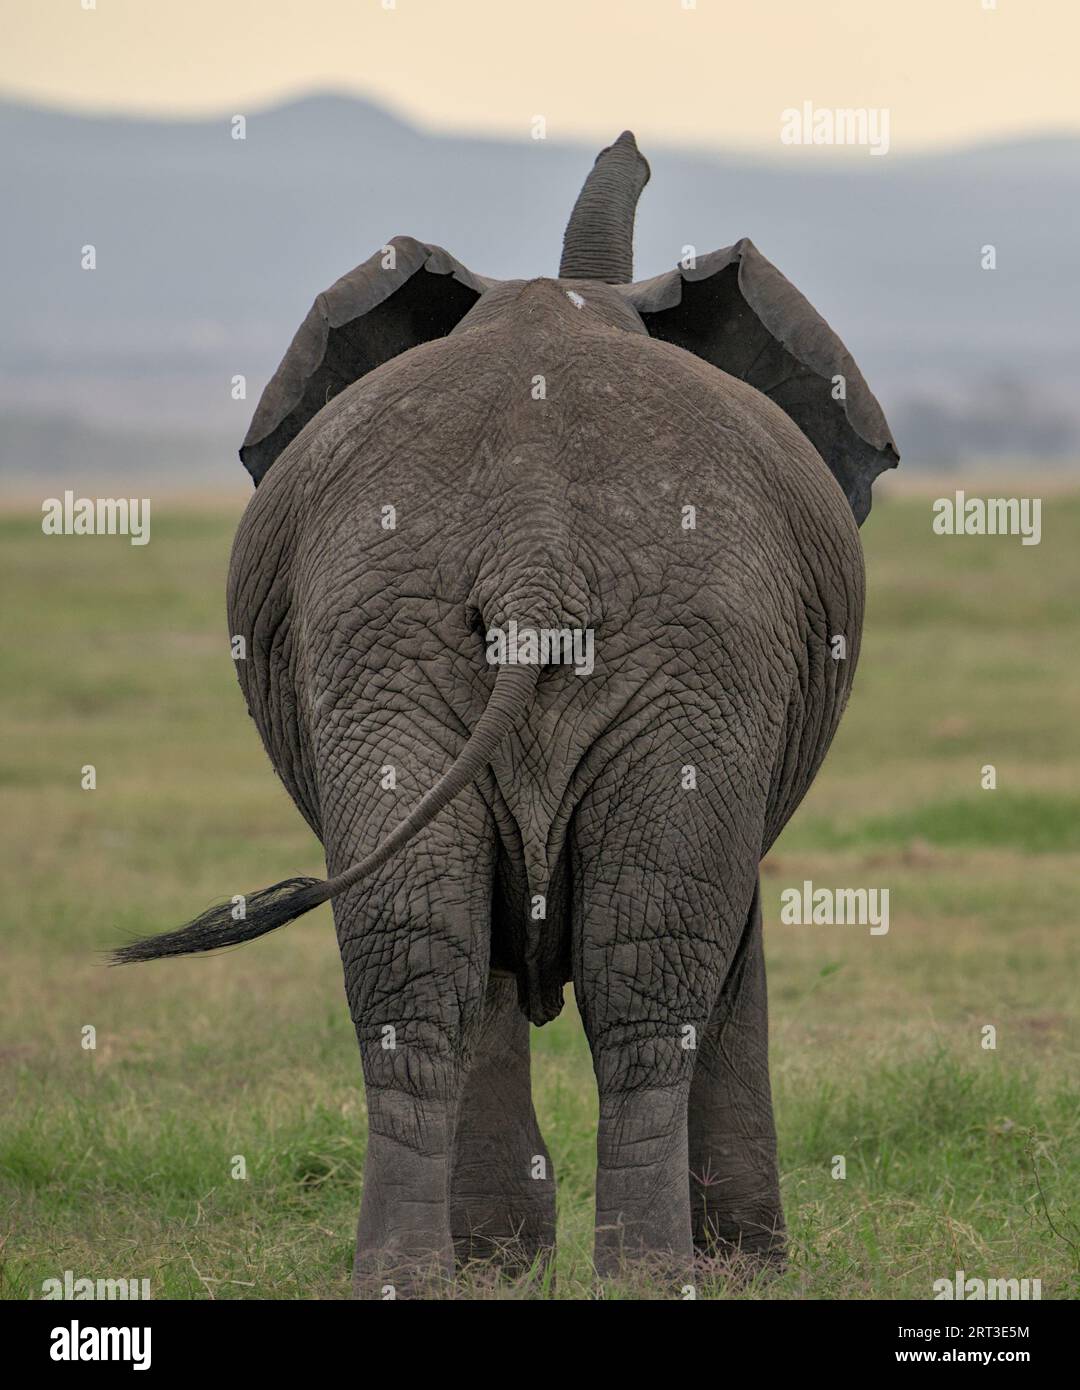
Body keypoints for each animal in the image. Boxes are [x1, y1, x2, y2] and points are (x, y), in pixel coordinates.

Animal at [116, 131, 898, 1296]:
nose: (632, 144)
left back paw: (412, 1275)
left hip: (397, 643)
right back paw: (649, 1276)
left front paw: (501, 1263)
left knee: (420, 960)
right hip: (665, 648)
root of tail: (536, 545)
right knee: (643, 978)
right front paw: (745, 1267)